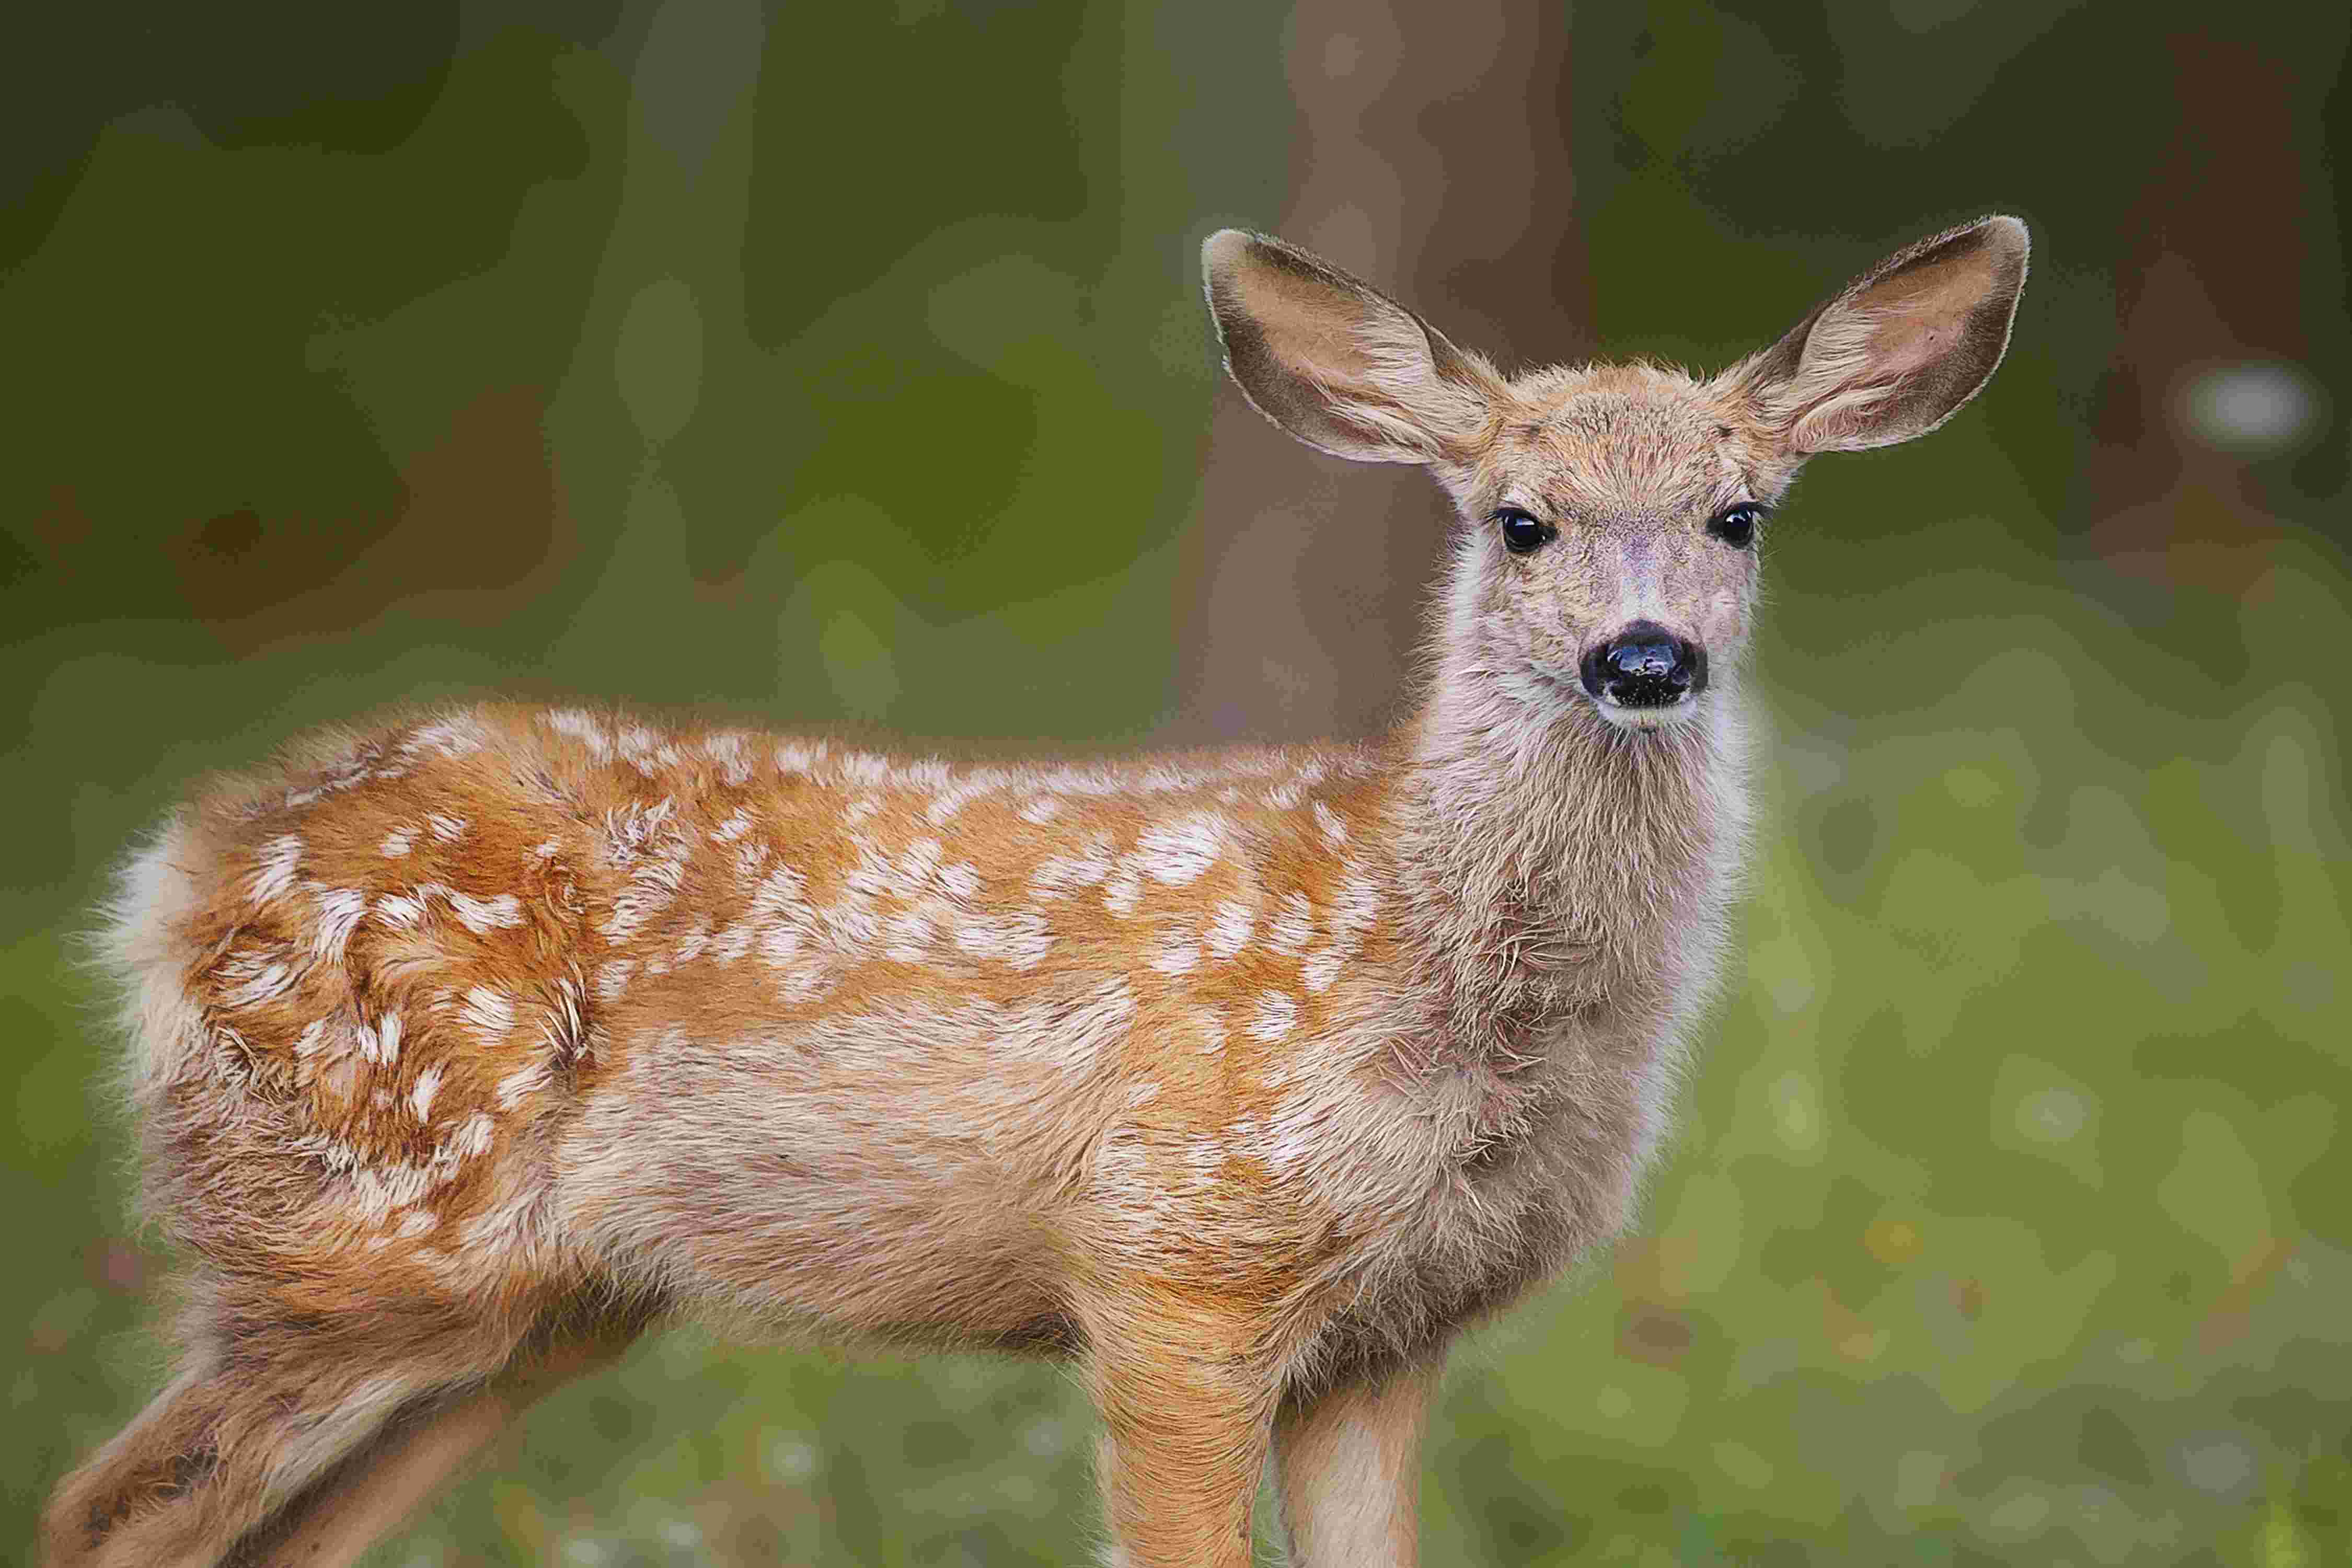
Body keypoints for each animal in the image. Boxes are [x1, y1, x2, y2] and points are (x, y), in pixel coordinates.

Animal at [44, 213, 2028, 1568]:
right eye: (1519, 520)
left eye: (1738, 518)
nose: (1644, 658)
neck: (1428, 968)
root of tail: (173, 868)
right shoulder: (1175, 1253)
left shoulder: (1394, 1333)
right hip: (369, 1227)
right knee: (104, 1511)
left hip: (534, 1307)